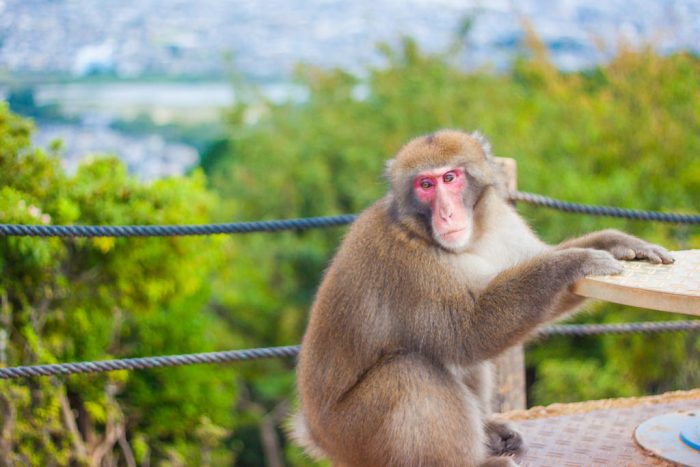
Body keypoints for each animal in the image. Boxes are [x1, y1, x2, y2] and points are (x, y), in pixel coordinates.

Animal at [289, 129, 673, 467]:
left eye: (450, 177)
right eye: (425, 185)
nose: (446, 213)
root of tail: (317, 433)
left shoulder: (502, 221)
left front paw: (615, 242)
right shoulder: (405, 260)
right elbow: (466, 333)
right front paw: (573, 262)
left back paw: (489, 432)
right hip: (355, 433)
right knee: (411, 371)